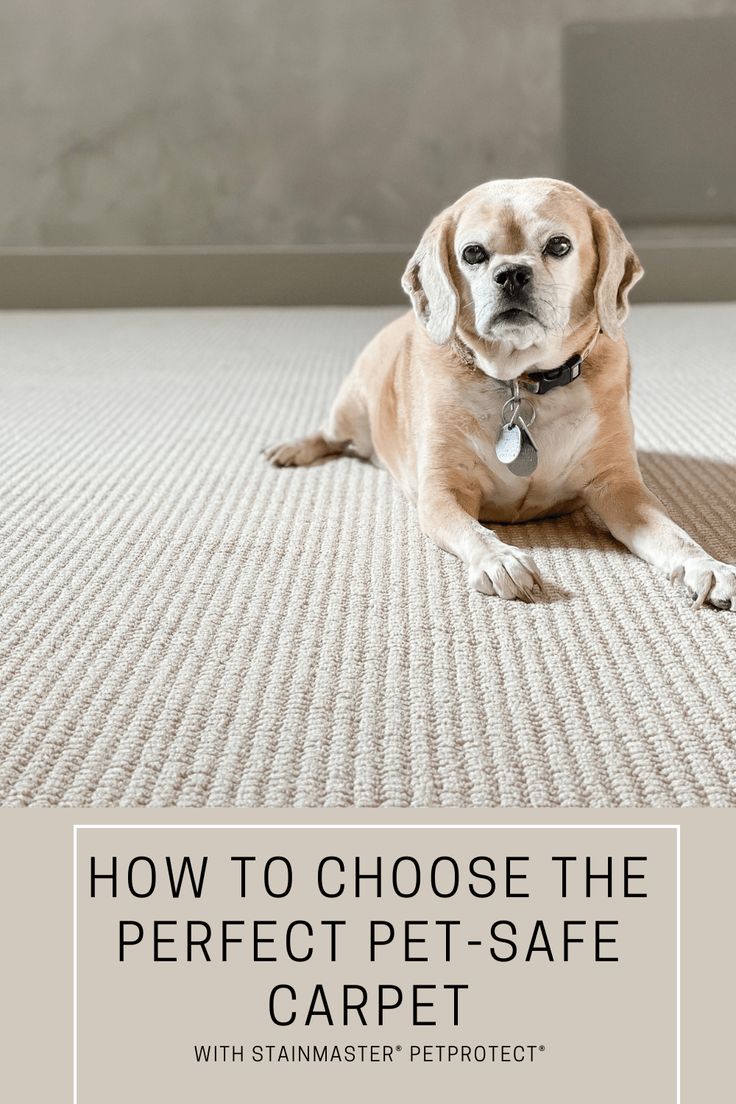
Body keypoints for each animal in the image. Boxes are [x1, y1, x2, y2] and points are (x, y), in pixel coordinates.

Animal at [264, 179, 736, 613]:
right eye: (473, 253)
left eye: (559, 245)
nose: (511, 273)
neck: (523, 381)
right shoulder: (442, 491)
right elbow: (473, 530)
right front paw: (501, 558)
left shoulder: (620, 488)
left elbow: (674, 534)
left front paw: (706, 565)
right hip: (351, 411)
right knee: (330, 436)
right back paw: (292, 449)